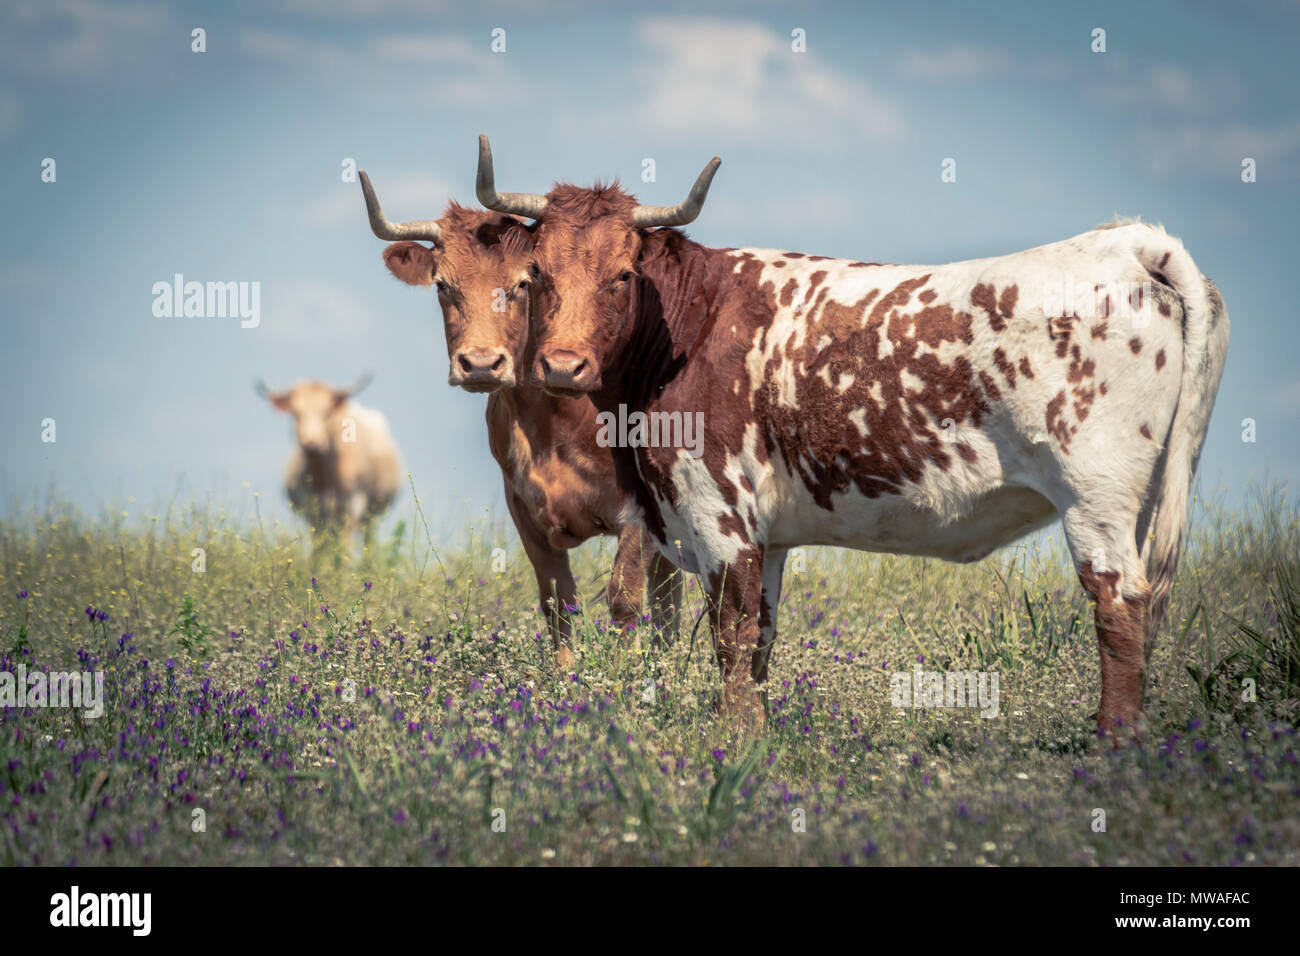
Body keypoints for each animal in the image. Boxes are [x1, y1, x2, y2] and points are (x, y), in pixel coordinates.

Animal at [257, 376, 403, 550]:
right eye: (296, 413)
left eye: (326, 412)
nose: (312, 441)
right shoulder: (312, 509)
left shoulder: (354, 503)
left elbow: (346, 542)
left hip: (371, 515)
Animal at [357, 171, 681, 665]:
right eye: (442, 285)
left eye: (524, 283)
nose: (481, 364)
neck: (553, 420)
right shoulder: (523, 508)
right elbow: (557, 602)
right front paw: (567, 677)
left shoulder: (639, 513)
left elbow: (625, 597)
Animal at [475, 135, 1230, 738]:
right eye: (536, 273)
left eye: (623, 275)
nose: (561, 367)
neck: (688, 329)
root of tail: (1126, 241)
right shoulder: (766, 534)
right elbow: (758, 639)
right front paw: (751, 735)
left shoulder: (717, 511)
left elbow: (729, 633)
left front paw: (732, 741)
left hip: (1095, 494)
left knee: (1119, 606)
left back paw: (1111, 741)